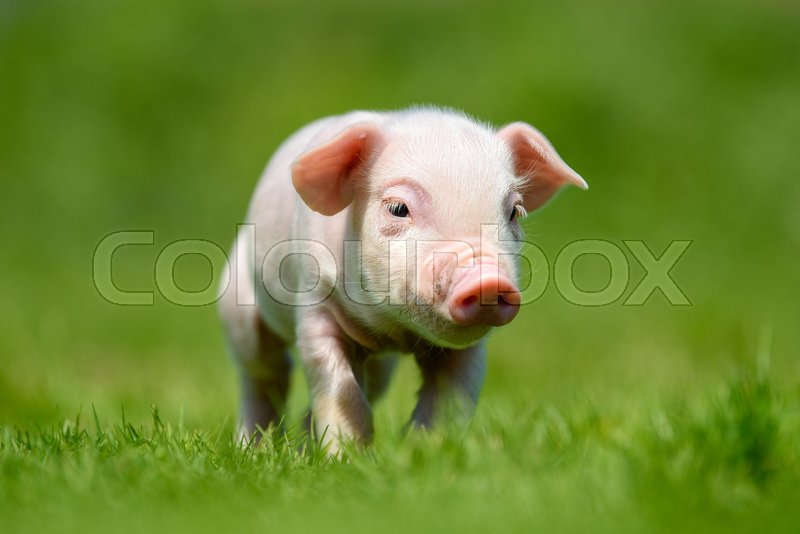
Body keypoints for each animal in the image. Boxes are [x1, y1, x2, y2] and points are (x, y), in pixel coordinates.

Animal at [218, 107, 586, 453]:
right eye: (398, 208)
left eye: (514, 212)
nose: (486, 279)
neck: (396, 331)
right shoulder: (315, 304)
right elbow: (338, 387)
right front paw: (344, 458)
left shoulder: (469, 351)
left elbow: (450, 399)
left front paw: (425, 453)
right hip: (237, 305)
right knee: (265, 372)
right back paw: (253, 448)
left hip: (381, 367)